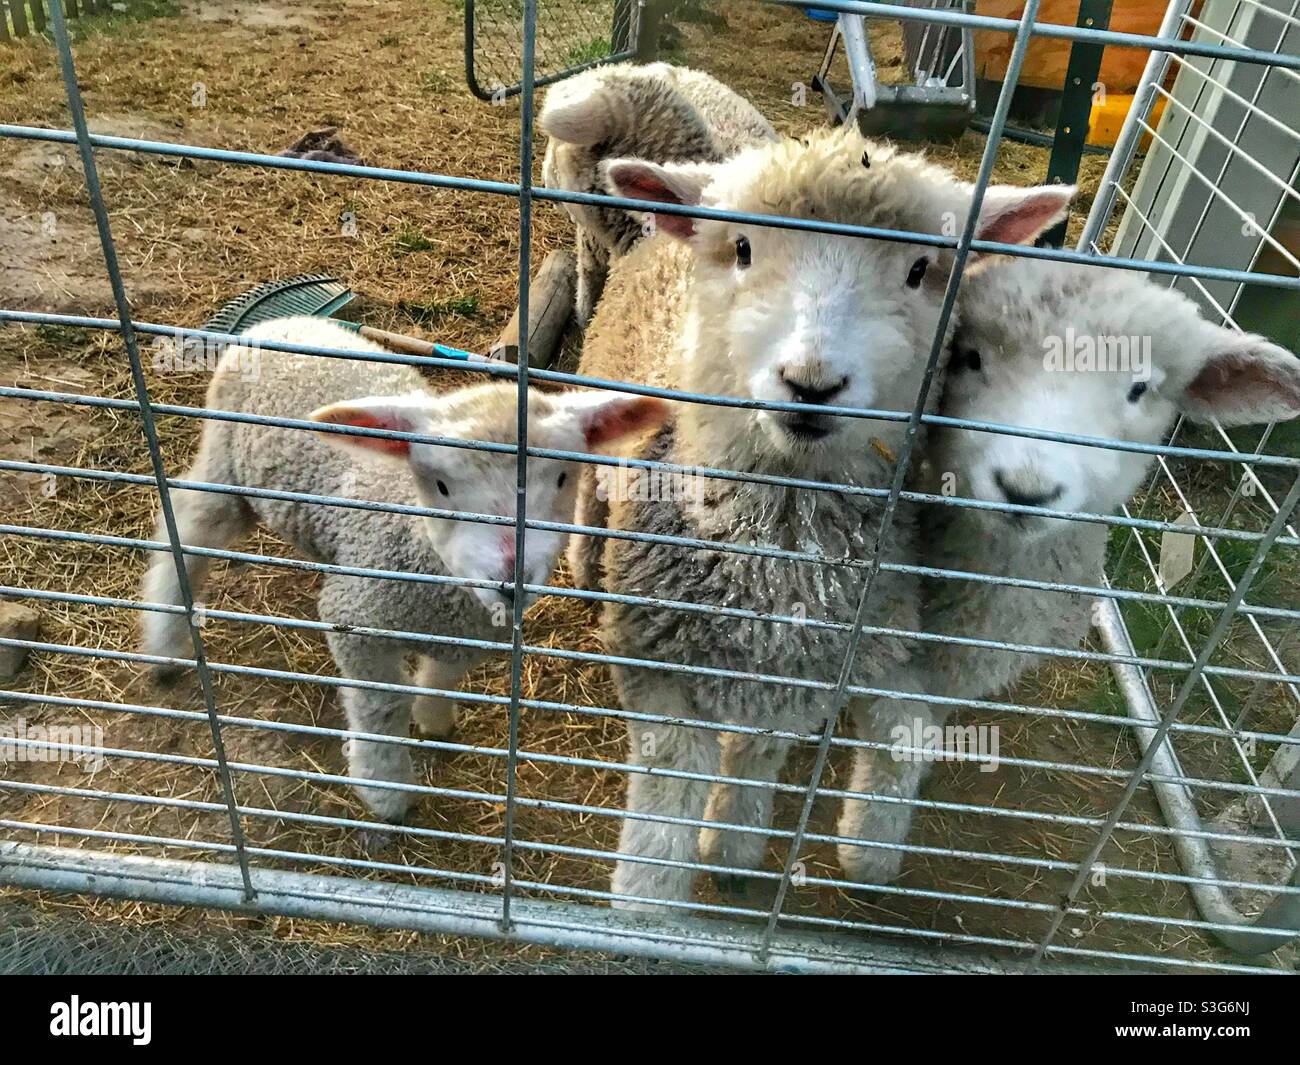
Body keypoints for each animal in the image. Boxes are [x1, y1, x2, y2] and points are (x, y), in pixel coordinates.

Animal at [140, 316, 667, 824]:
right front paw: (386, 791)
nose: (510, 582)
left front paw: (433, 720)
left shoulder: (469, 630)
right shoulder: (357, 621)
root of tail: (282, 322)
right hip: (224, 463)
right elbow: (382, 705)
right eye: (441, 486)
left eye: (561, 478)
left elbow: (442, 678)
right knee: (189, 529)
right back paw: (165, 641)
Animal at [570, 127, 1075, 907]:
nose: (811, 384)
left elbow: (757, 752)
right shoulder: (658, 667)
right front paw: (646, 897)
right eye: (743, 248)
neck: (778, 543)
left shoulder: (803, 674)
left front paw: (733, 845)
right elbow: (667, 798)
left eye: (921, 270)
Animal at [836, 257, 1300, 885]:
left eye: (1139, 388)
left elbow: (913, 733)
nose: (1026, 491)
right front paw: (865, 844)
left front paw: (871, 843)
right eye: (969, 358)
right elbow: (893, 729)